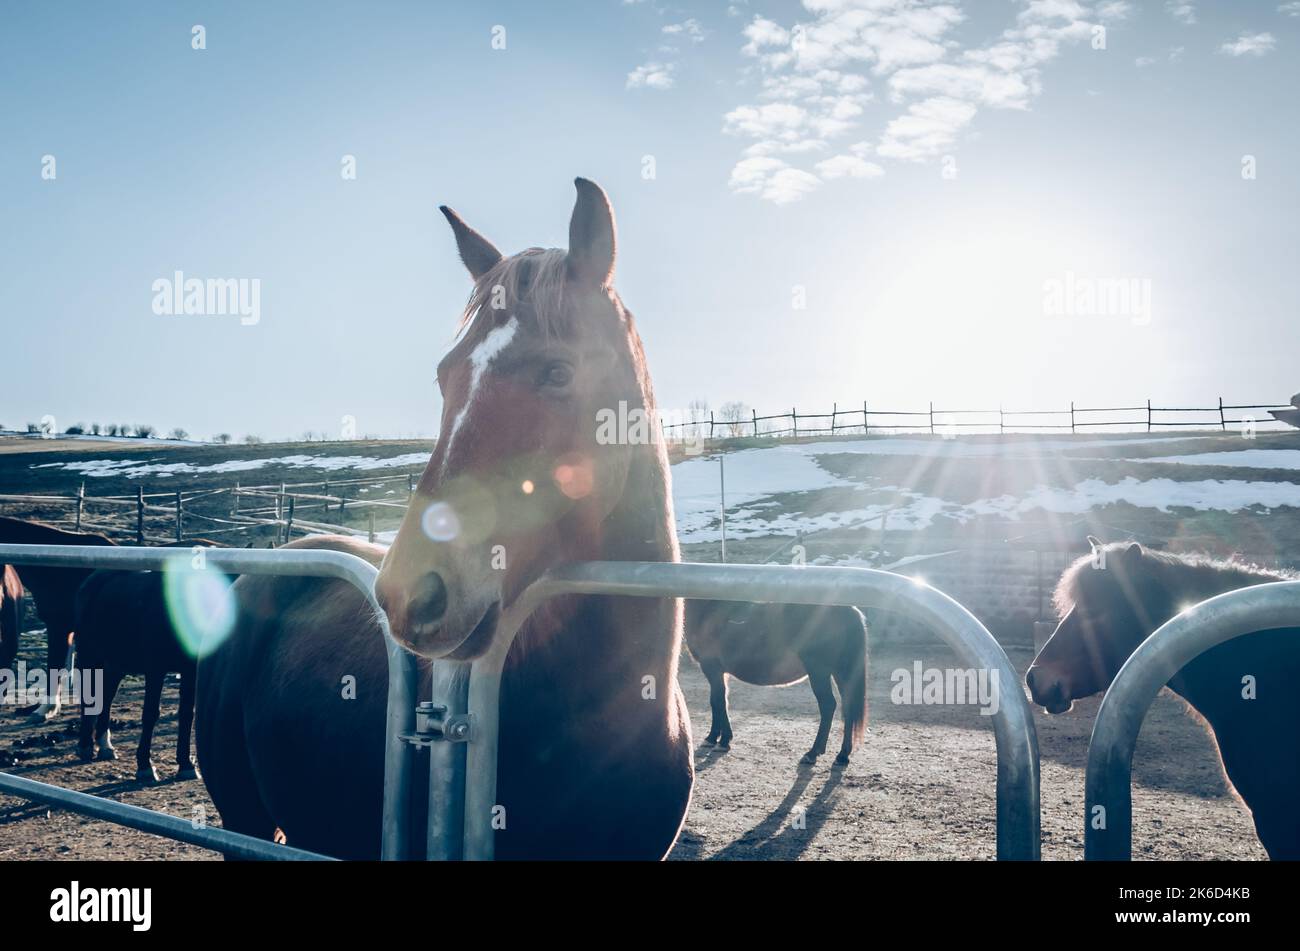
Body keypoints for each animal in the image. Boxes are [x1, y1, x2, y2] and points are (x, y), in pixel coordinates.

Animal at [685, 600, 868, 764]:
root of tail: (849, 611)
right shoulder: (718, 672)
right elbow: (717, 702)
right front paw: (714, 738)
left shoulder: (711, 667)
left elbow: (718, 702)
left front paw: (721, 741)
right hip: (840, 674)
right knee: (848, 708)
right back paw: (842, 755)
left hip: (819, 672)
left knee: (828, 706)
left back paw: (813, 753)